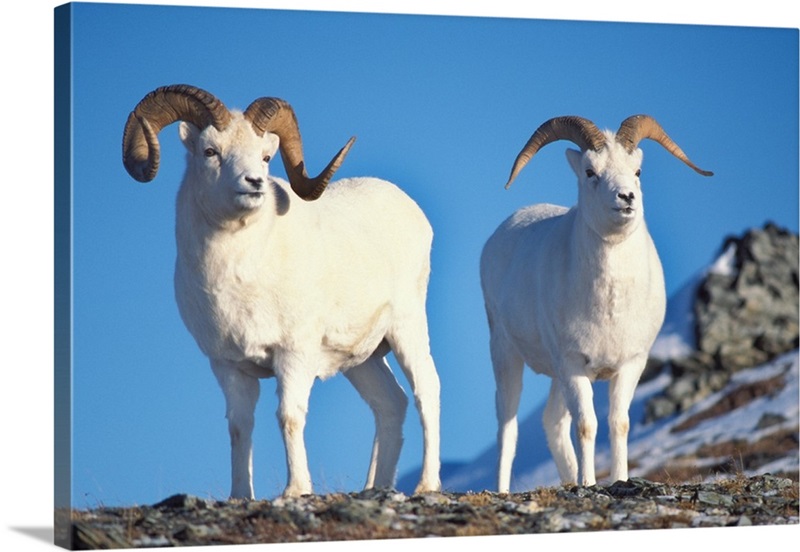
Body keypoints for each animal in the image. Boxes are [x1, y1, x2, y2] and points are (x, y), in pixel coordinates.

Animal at [122, 84, 441, 499]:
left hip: (406, 329)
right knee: (390, 405)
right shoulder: (229, 367)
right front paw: (240, 495)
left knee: (425, 391)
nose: (253, 183)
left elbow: (288, 416)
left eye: (265, 156)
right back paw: (375, 486)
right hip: (365, 360)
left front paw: (295, 490)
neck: (240, 280)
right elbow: (239, 428)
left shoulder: (294, 355)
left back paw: (426, 484)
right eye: (210, 151)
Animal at [480, 115, 713, 492]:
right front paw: (588, 482)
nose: (626, 197)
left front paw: (619, 479)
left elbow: (619, 423)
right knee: (508, 429)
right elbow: (586, 425)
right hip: (506, 355)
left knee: (552, 423)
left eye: (637, 171)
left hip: (555, 376)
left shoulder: (629, 365)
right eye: (591, 172)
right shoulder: (574, 365)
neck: (609, 305)